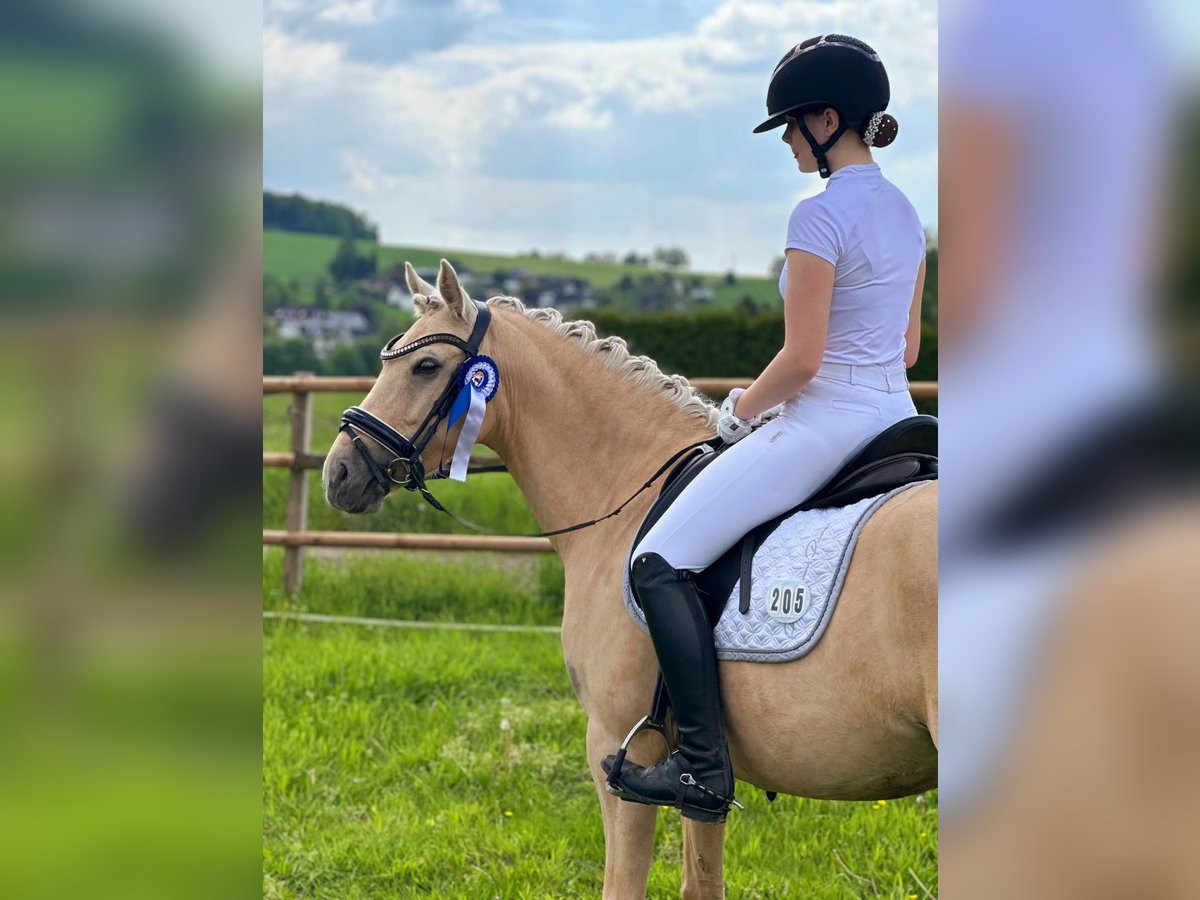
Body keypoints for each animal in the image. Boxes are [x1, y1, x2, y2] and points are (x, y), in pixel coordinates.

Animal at [323, 260, 938, 899]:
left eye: (424, 366)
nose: (338, 473)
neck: (627, 490)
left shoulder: (618, 746)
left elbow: (622, 885)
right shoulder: (701, 778)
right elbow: (702, 881)